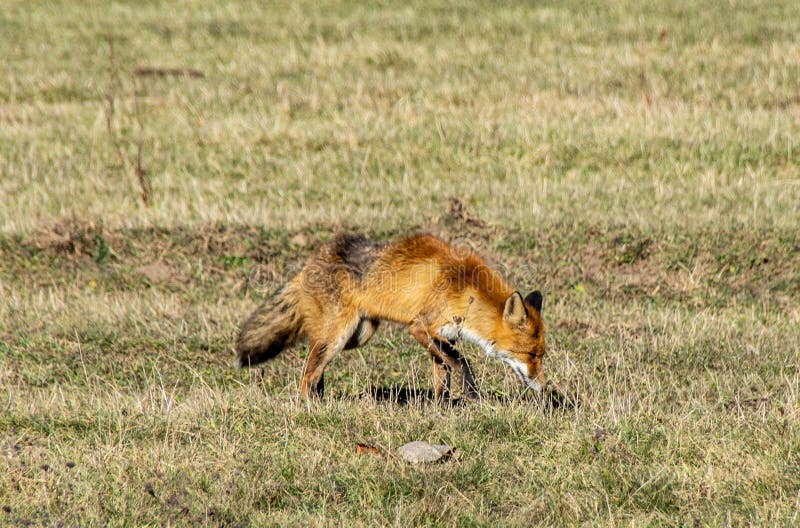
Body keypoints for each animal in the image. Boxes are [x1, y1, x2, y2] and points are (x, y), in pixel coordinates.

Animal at [235, 233, 546, 400]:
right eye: (531, 355)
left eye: (541, 355)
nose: (544, 386)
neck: (465, 289)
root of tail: (312, 260)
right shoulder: (420, 327)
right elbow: (461, 361)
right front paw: (471, 392)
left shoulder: (441, 336)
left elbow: (443, 374)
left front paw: (444, 407)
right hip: (338, 336)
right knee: (307, 373)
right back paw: (308, 407)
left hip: (358, 335)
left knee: (314, 365)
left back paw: (319, 398)